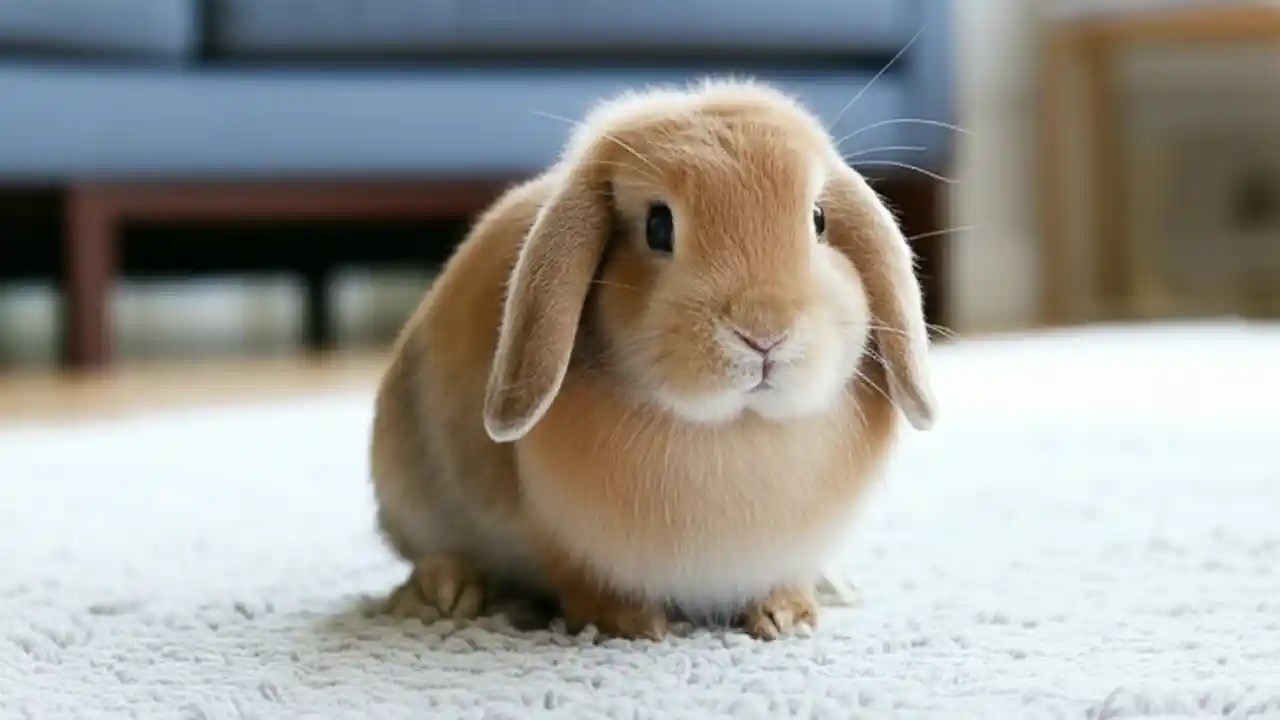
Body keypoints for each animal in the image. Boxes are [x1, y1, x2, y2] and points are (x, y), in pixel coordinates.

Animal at [370, 79, 935, 641]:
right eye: (658, 227)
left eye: (818, 220)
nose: (764, 333)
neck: (736, 429)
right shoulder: (559, 537)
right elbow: (579, 578)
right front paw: (629, 622)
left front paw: (787, 615)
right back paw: (442, 594)